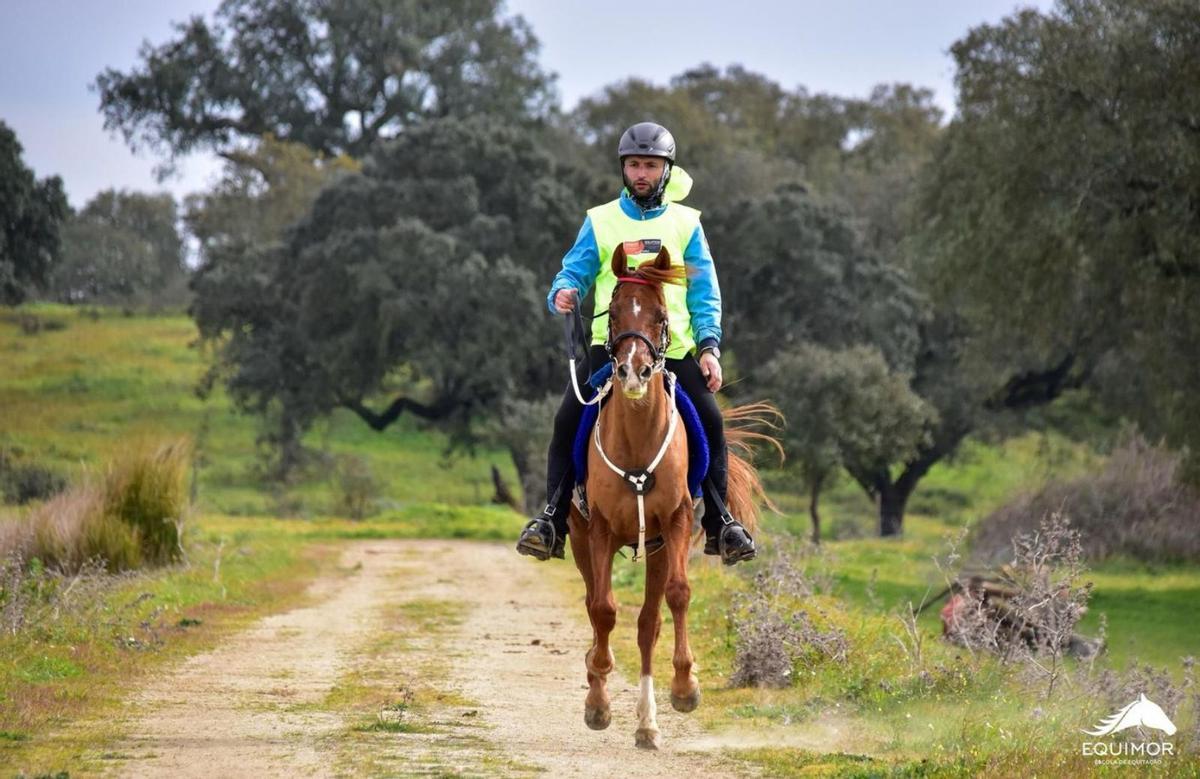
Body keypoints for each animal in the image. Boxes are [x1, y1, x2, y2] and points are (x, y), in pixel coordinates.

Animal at [566, 242, 773, 750]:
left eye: (662, 315)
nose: (634, 371)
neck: (638, 440)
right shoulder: (600, 530)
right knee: (595, 606)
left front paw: (685, 688)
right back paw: (599, 688)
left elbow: (677, 597)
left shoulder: (676, 523)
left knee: (648, 625)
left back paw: (648, 723)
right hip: (581, 540)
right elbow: (604, 609)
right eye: (614, 312)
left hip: (658, 549)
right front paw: (598, 696)